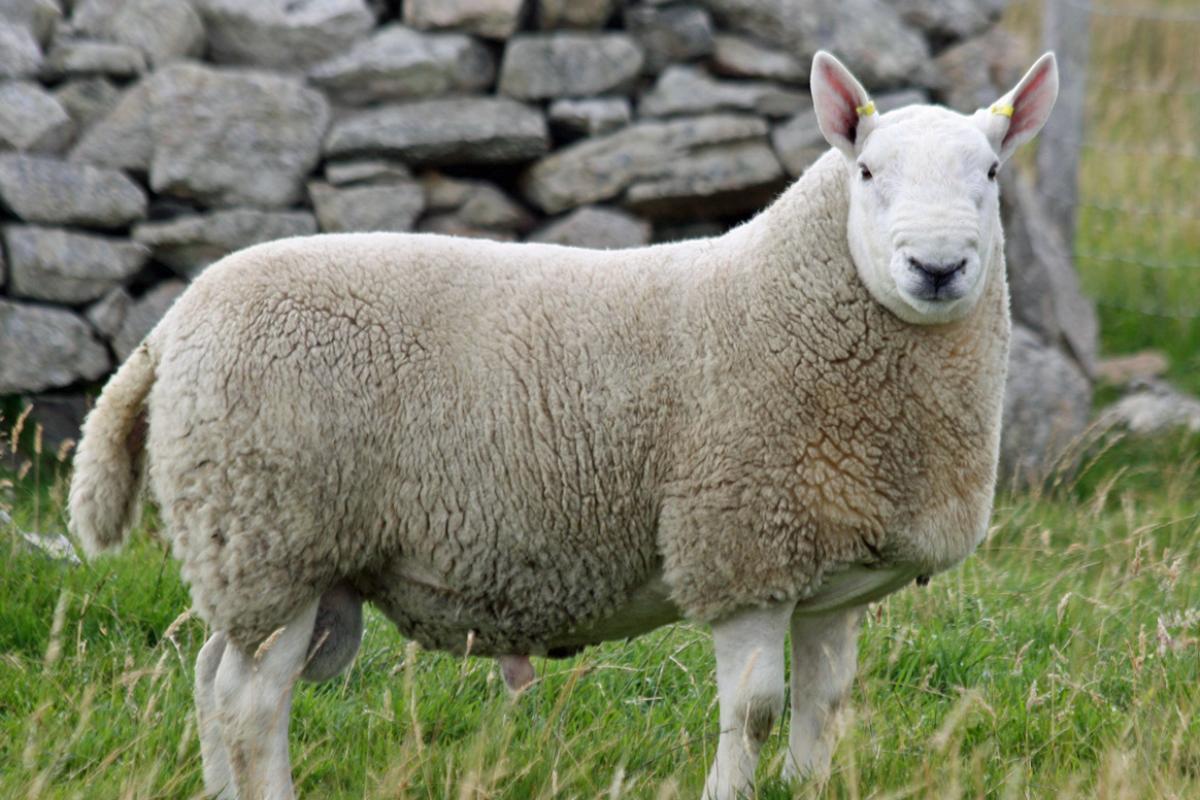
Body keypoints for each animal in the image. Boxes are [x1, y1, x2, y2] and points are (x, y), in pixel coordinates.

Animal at [67, 50, 1058, 800]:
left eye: (992, 174)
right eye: (866, 173)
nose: (938, 268)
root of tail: (169, 327)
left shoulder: (831, 575)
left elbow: (823, 709)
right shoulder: (741, 547)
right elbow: (754, 714)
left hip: (274, 564)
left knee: (211, 679)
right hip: (276, 534)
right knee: (249, 707)